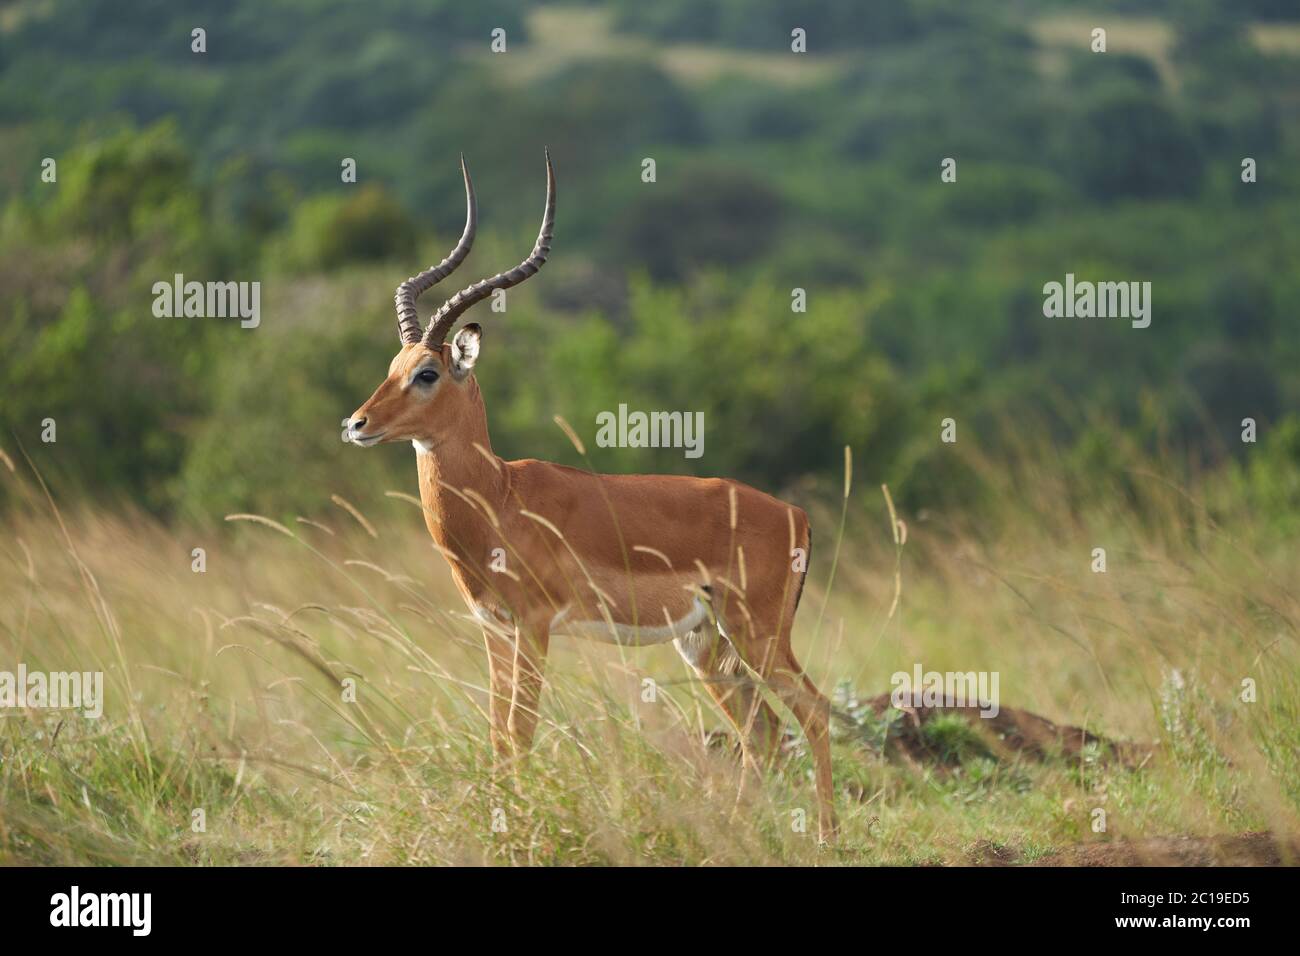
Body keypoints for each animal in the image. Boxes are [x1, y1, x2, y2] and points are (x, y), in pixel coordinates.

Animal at [343, 152, 837, 842]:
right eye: (393, 366)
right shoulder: (494, 630)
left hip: (757, 634)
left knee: (811, 712)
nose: (357, 424)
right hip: (706, 642)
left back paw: (828, 835)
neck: (500, 496)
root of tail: (795, 514)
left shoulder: (534, 626)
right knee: (761, 730)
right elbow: (498, 736)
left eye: (428, 372)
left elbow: (521, 732)